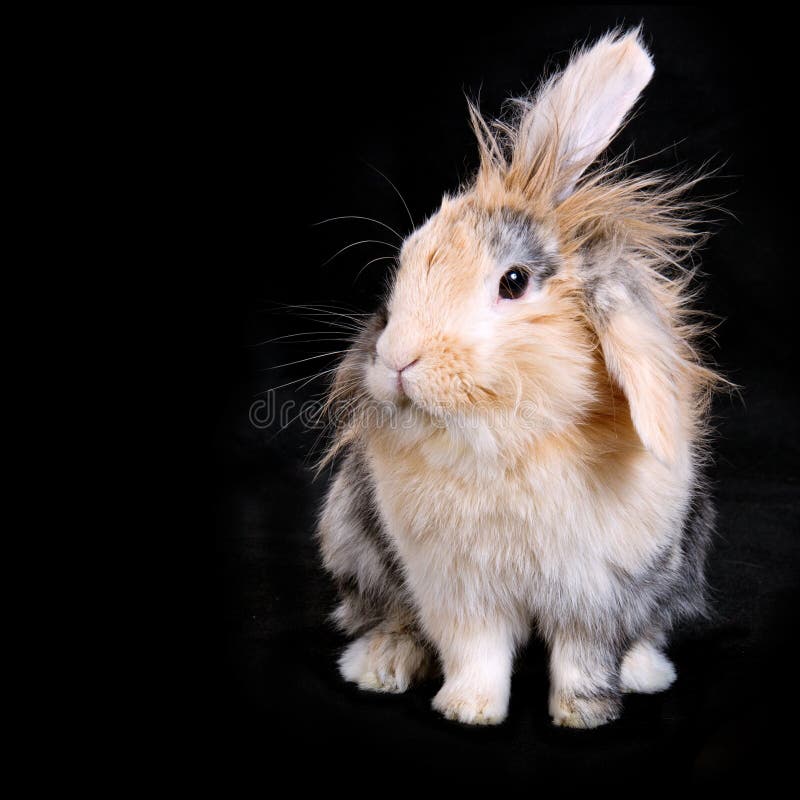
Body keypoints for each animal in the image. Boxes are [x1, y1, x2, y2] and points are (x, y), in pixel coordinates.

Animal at [316, 29, 720, 728]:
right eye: (403, 267)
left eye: (514, 282)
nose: (397, 361)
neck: (506, 436)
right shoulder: (458, 591)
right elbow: (476, 652)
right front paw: (466, 711)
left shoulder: (598, 589)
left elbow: (584, 657)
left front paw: (583, 716)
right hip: (352, 536)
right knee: (387, 614)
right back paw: (382, 665)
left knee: (645, 630)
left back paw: (646, 673)